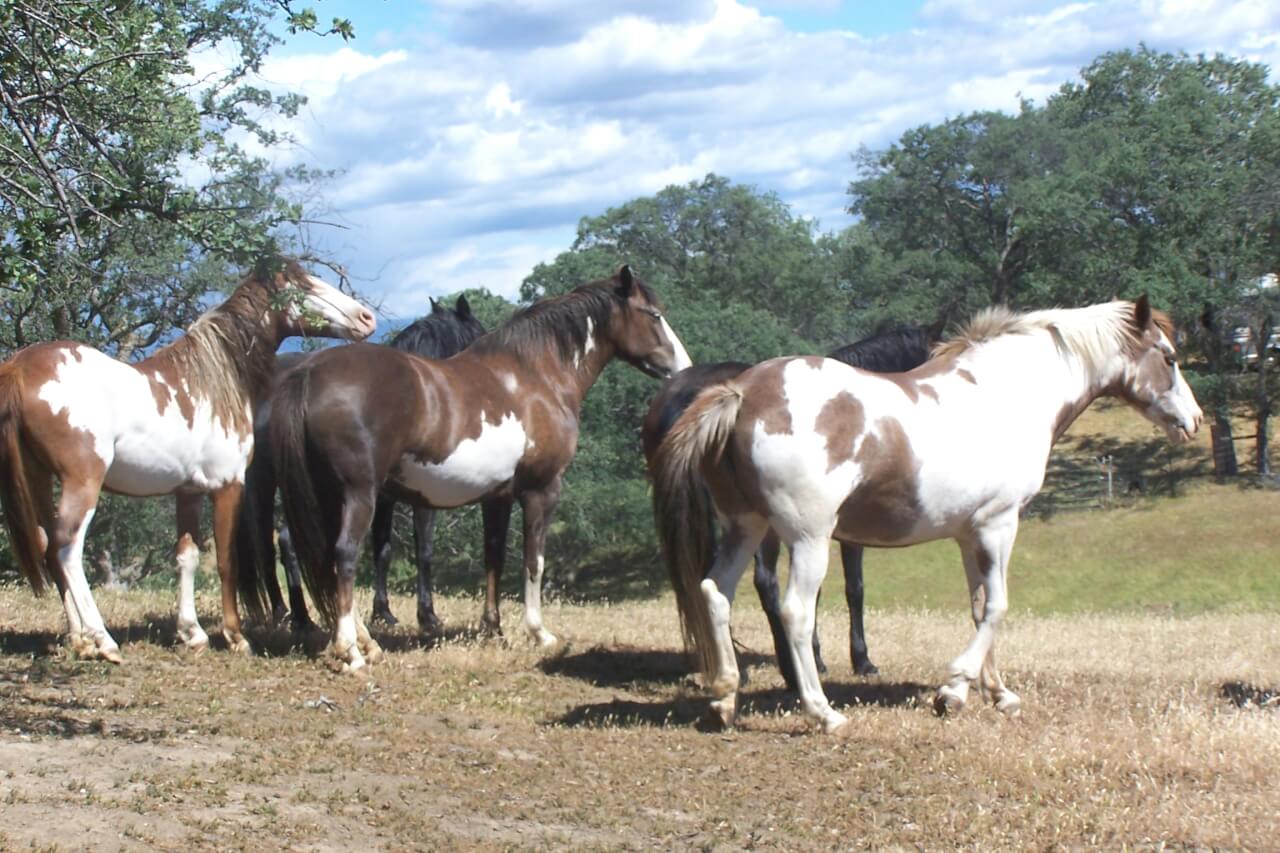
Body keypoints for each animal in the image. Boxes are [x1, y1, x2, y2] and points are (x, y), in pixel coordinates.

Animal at [0, 259, 377, 662]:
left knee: (46, 546)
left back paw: (79, 639)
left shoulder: (188, 491)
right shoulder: (228, 486)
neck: (213, 382)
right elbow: (227, 561)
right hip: (82, 481)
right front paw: (235, 637)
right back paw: (103, 640)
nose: (366, 319)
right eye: (306, 286)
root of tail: (20, 368)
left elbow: (187, 556)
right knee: (66, 547)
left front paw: (192, 633)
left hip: (38, 479)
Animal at [235, 296, 487, 633]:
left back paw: (295, 614)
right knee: (287, 541)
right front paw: (427, 615)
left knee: (277, 542)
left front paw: (383, 612)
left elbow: (383, 550)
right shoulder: (420, 499)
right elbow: (424, 550)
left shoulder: (385, 499)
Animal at [271, 266, 692, 670]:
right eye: (654, 314)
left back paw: (365, 643)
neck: (535, 376)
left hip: (326, 498)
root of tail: (308, 375)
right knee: (344, 554)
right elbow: (534, 559)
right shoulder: (541, 490)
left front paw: (493, 628)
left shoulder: (497, 497)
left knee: (325, 557)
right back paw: (351, 652)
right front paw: (539, 633)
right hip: (358, 495)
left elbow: (494, 558)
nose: (683, 367)